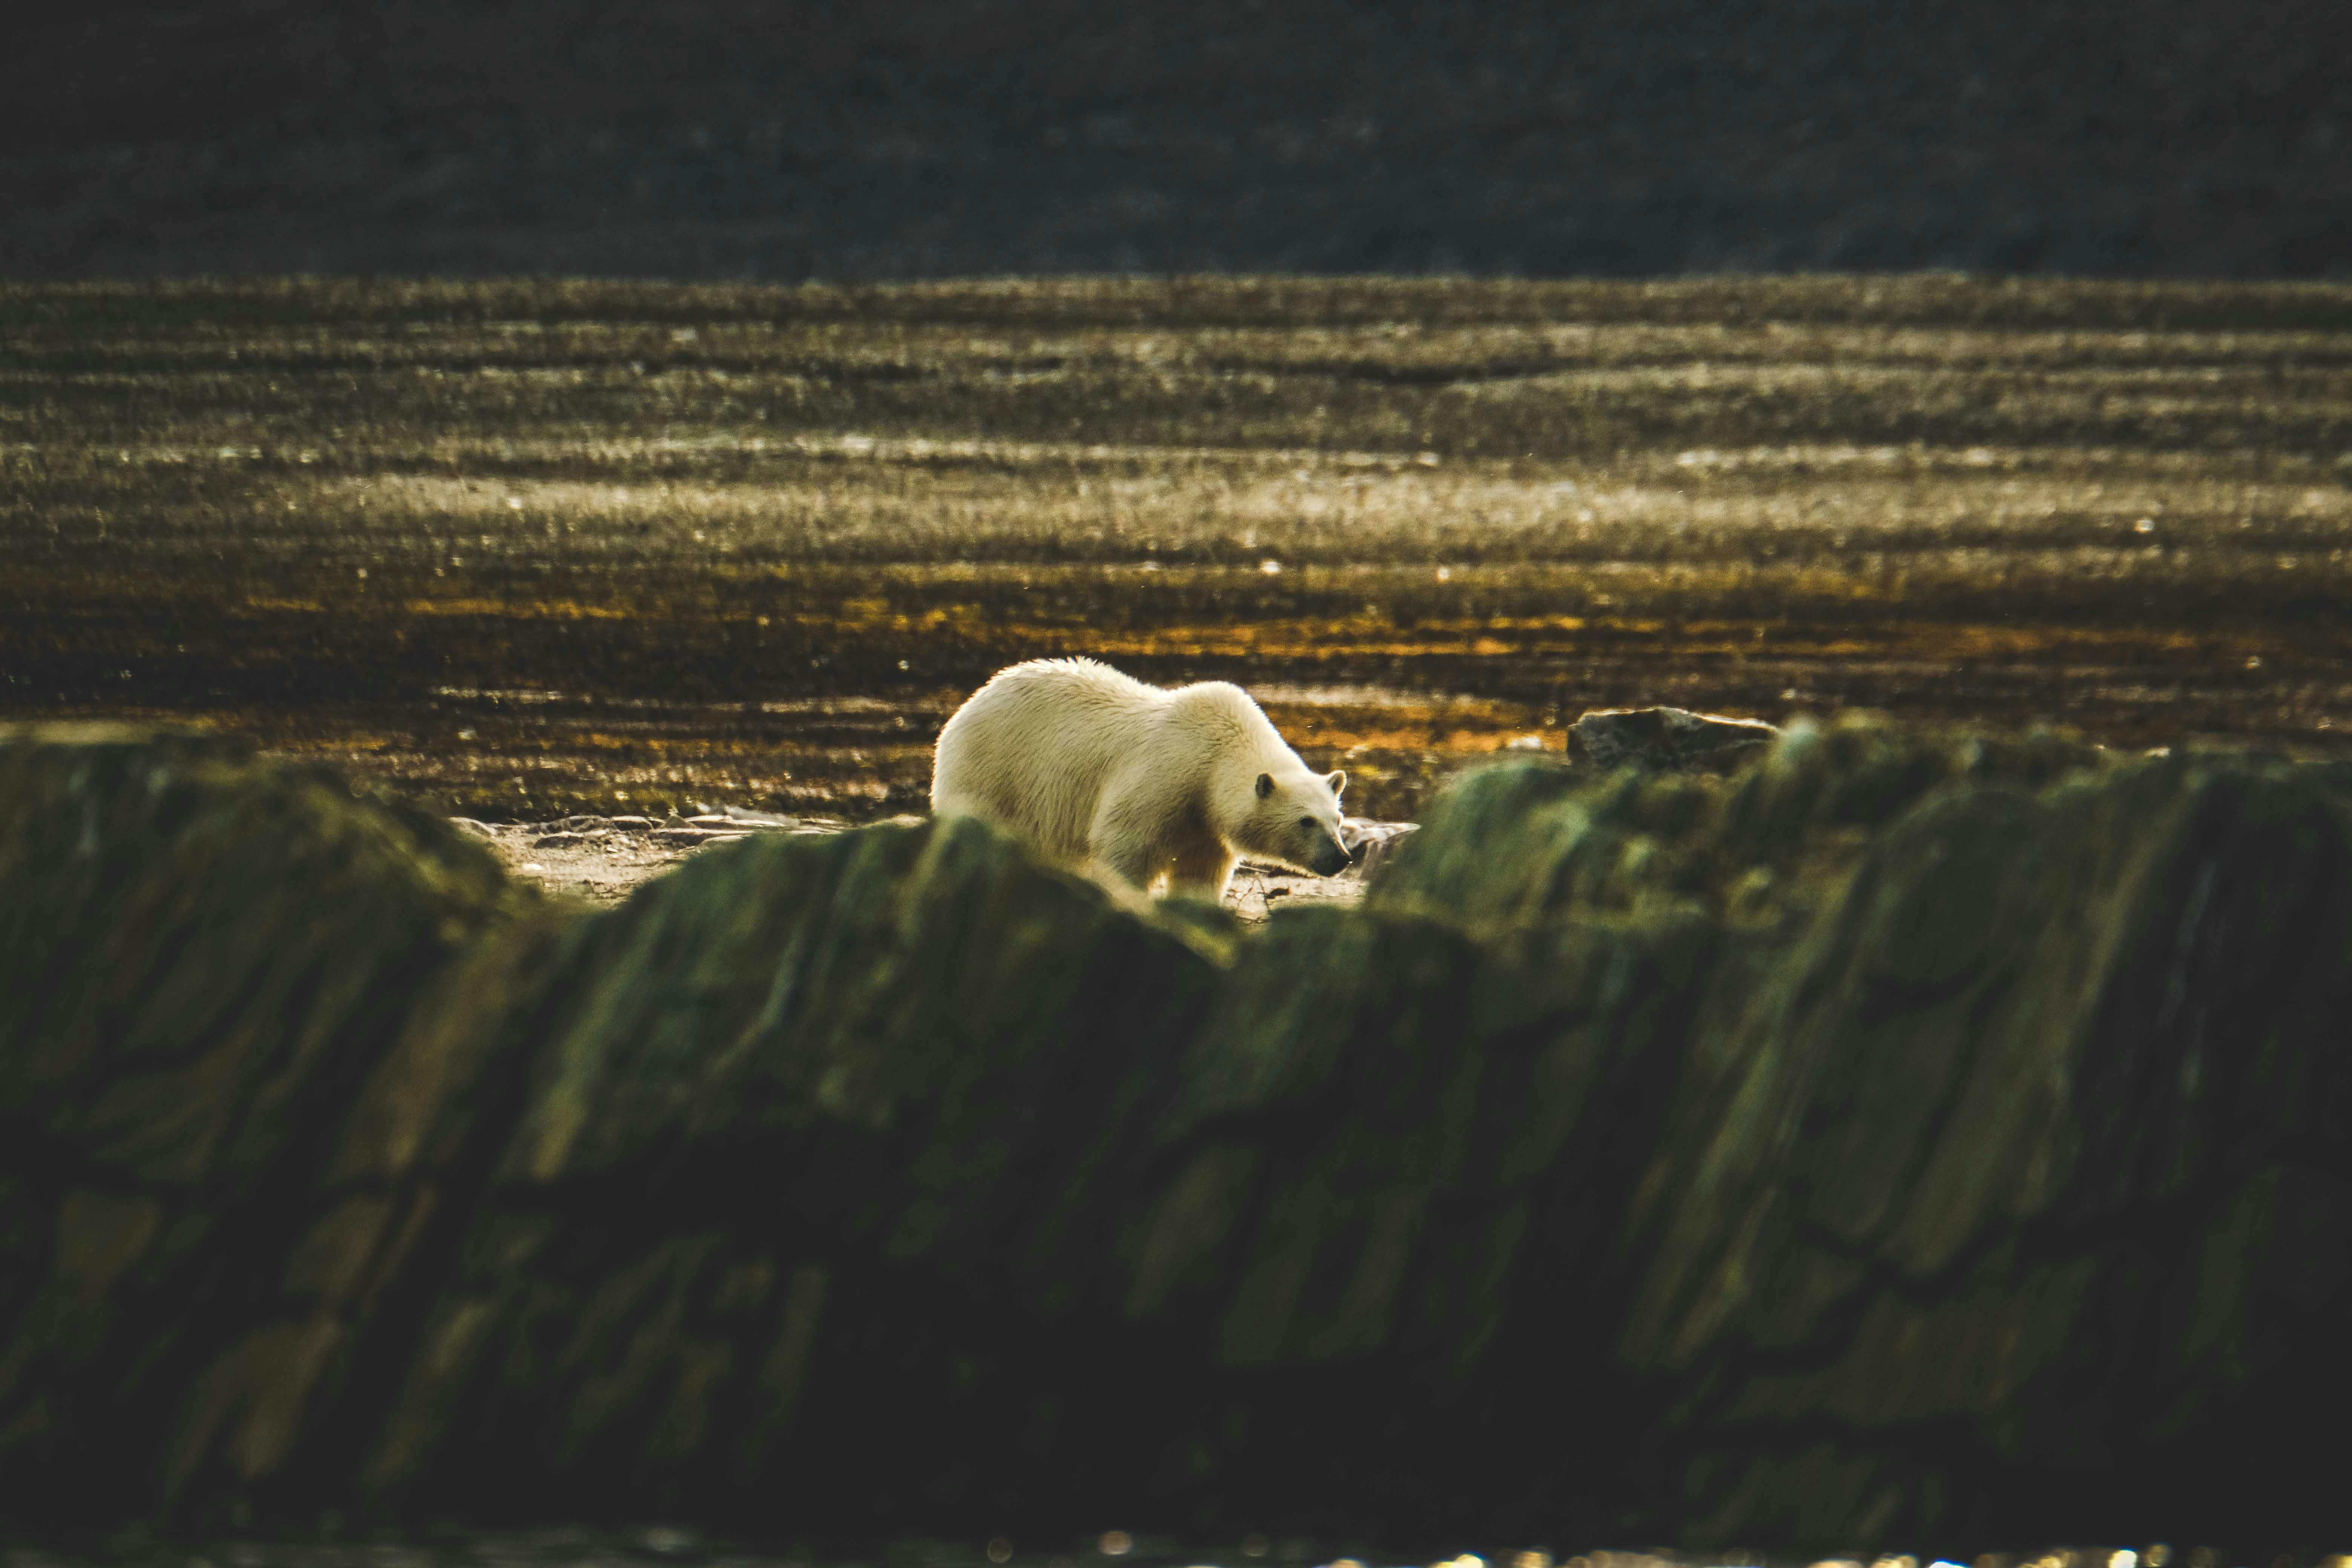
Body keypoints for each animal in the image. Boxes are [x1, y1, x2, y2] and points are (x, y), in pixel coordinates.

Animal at [931, 657, 1354, 899]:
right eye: (1306, 821)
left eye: (1338, 819)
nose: (1341, 858)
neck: (1214, 760)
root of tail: (978, 696)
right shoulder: (1161, 780)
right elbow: (1125, 847)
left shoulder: (1206, 827)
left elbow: (1200, 874)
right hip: (993, 769)